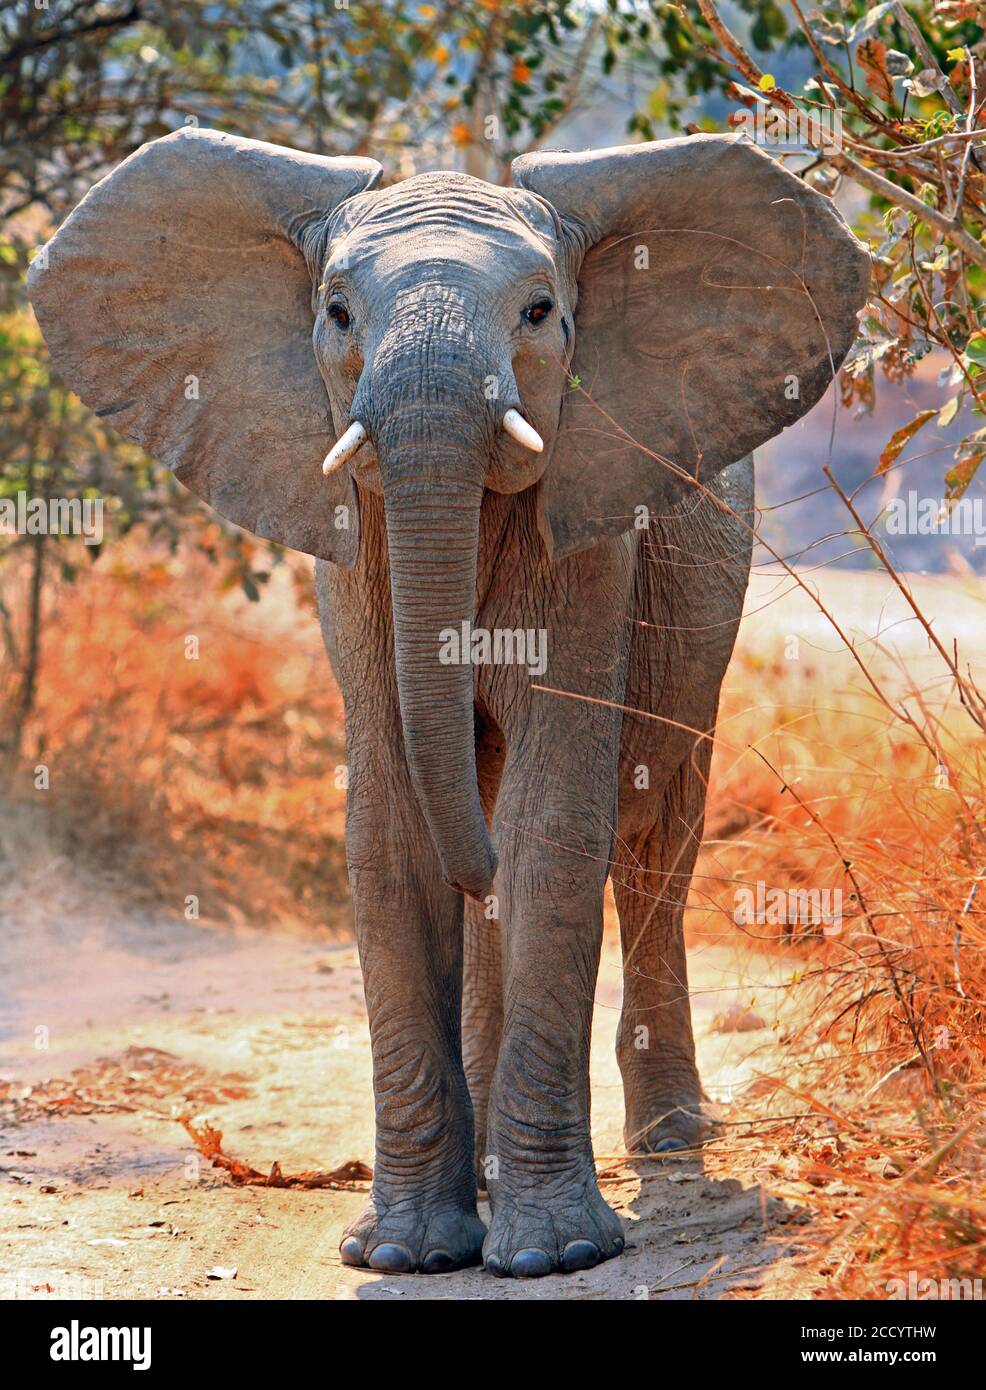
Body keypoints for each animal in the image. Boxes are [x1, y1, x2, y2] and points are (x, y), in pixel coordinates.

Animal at [29, 126, 869, 1279]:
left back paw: (667, 1140)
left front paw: (554, 1252)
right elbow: (390, 825)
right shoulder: (356, 545)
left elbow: (552, 824)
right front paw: (405, 1251)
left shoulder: (588, 529)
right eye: (337, 311)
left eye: (539, 312)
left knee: (654, 825)